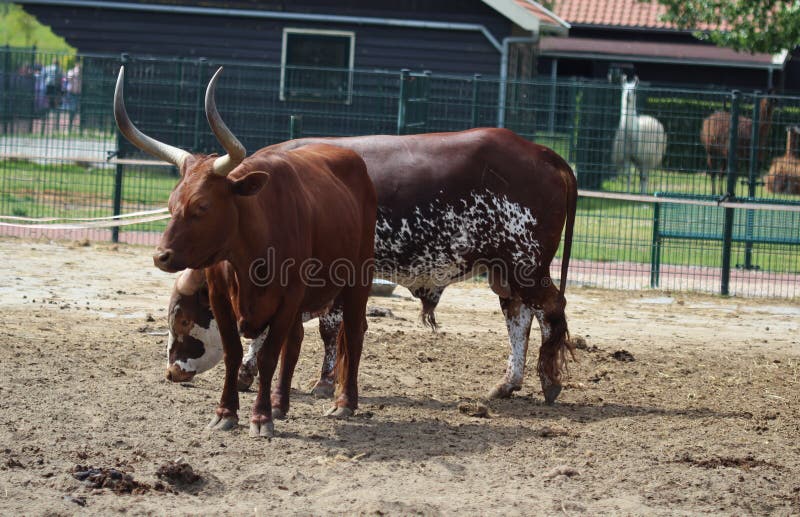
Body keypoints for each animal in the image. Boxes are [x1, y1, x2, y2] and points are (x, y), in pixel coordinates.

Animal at [115, 66, 377, 437]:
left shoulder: (287, 298)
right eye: (170, 204)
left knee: (352, 333)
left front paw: (261, 417)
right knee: (295, 342)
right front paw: (227, 412)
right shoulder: (222, 298)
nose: (160, 256)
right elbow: (235, 352)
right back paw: (281, 403)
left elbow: (267, 356)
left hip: (358, 277)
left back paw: (343, 403)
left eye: (202, 206)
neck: (250, 254)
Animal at [166, 124, 578, 404]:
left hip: (526, 264)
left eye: (182, 319)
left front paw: (321, 382)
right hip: (504, 271)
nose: (172, 372)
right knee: (519, 317)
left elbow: (327, 330)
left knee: (550, 310)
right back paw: (508, 383)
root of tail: (540, 151)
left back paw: (549, 382)